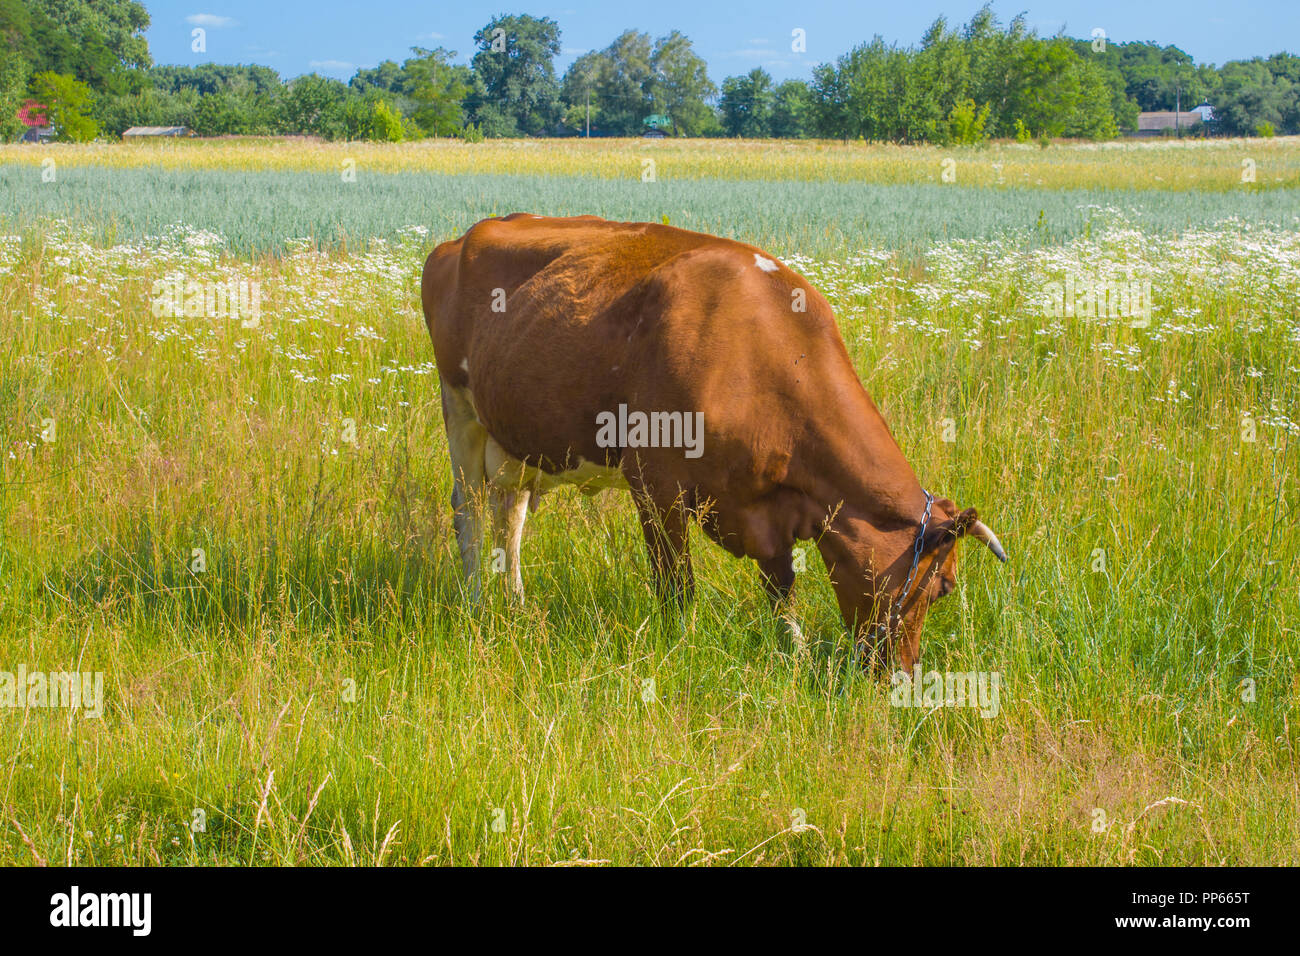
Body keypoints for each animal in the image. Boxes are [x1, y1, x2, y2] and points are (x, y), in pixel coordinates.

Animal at [421, 214, 1006, 672]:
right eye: (944, 585)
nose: (903, 673)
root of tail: (467, 235)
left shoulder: (773, 505)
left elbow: (781, 587)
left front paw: (792, 654)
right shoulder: (653, 482)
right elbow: (676, 584)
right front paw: (682, 645)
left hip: (516, 439)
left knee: (511, 515)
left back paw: (516, 604)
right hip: (460, 411)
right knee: (468, 513)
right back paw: (476, 603)